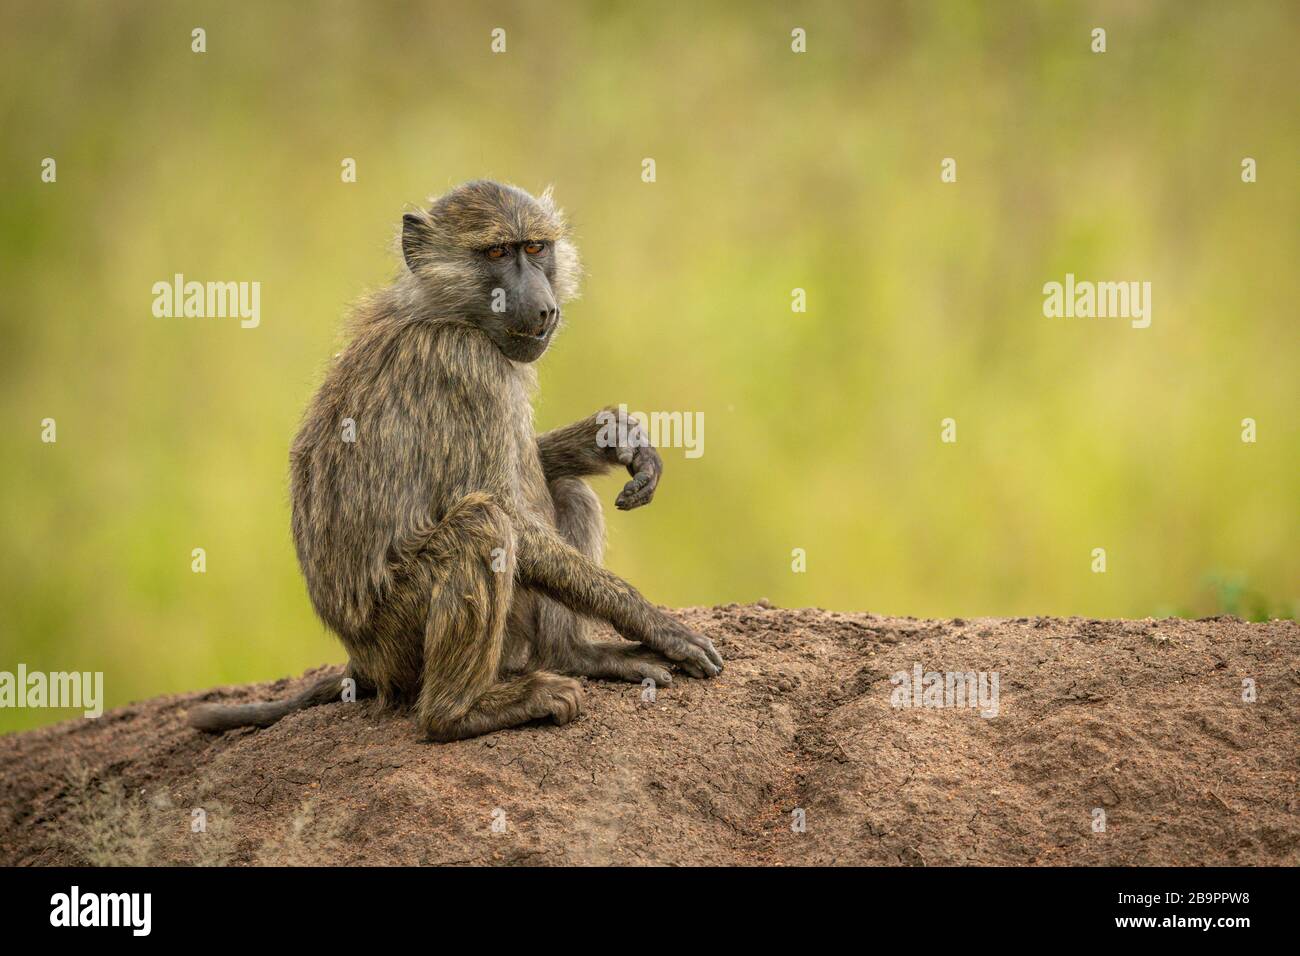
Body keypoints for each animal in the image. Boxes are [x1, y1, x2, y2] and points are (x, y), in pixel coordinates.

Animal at [189, 180, 722, 742]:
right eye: (496, 253)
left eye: (535, 248)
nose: (543, 309)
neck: (446, 313)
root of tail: (363, 662)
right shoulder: (465, 364)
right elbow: (507, 512)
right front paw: (659, 625)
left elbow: (533, 468)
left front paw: (616, 437)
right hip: (402, 641)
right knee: (482, 524)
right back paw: (462, 712)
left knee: (568, 490)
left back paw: (576, 655)